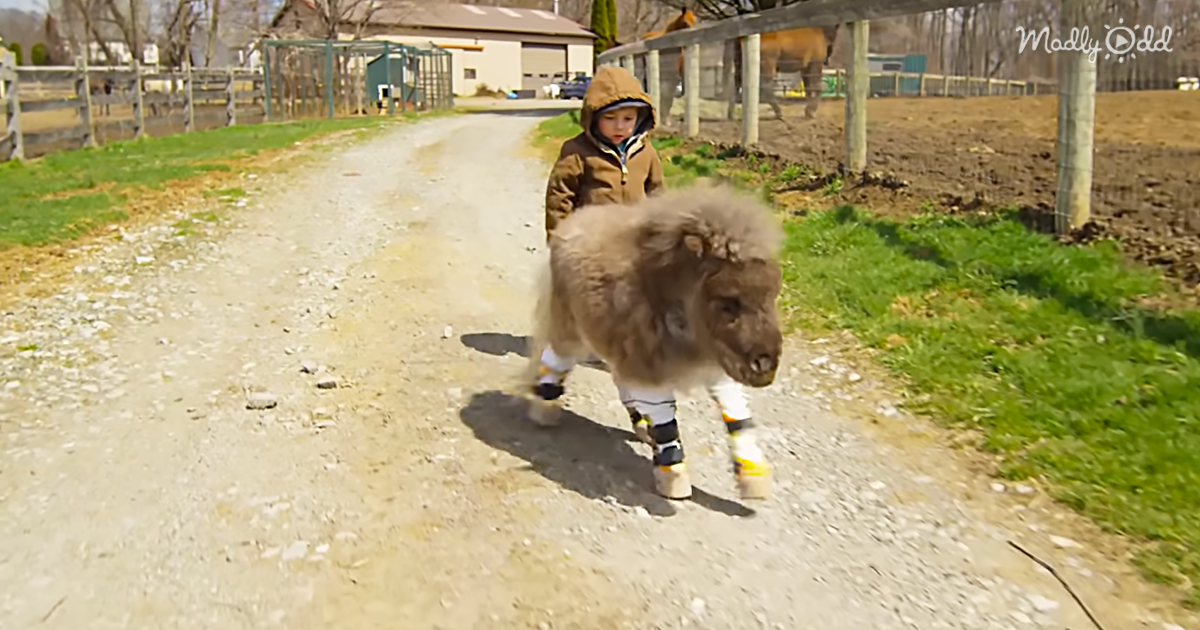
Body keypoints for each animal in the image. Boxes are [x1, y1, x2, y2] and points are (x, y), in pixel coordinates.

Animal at [521, 185, 785, 501]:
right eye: (727, 302)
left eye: (773, 294)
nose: (766, 366)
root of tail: (572, 223)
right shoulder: (652, 370)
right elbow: (667, 425)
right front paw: (674, 480)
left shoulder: (715, 365)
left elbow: (738, 417)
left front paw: (754, 479)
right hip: (569, 329)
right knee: (554, 361)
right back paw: (544, 410)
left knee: (619, 381)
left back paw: (640, 426)